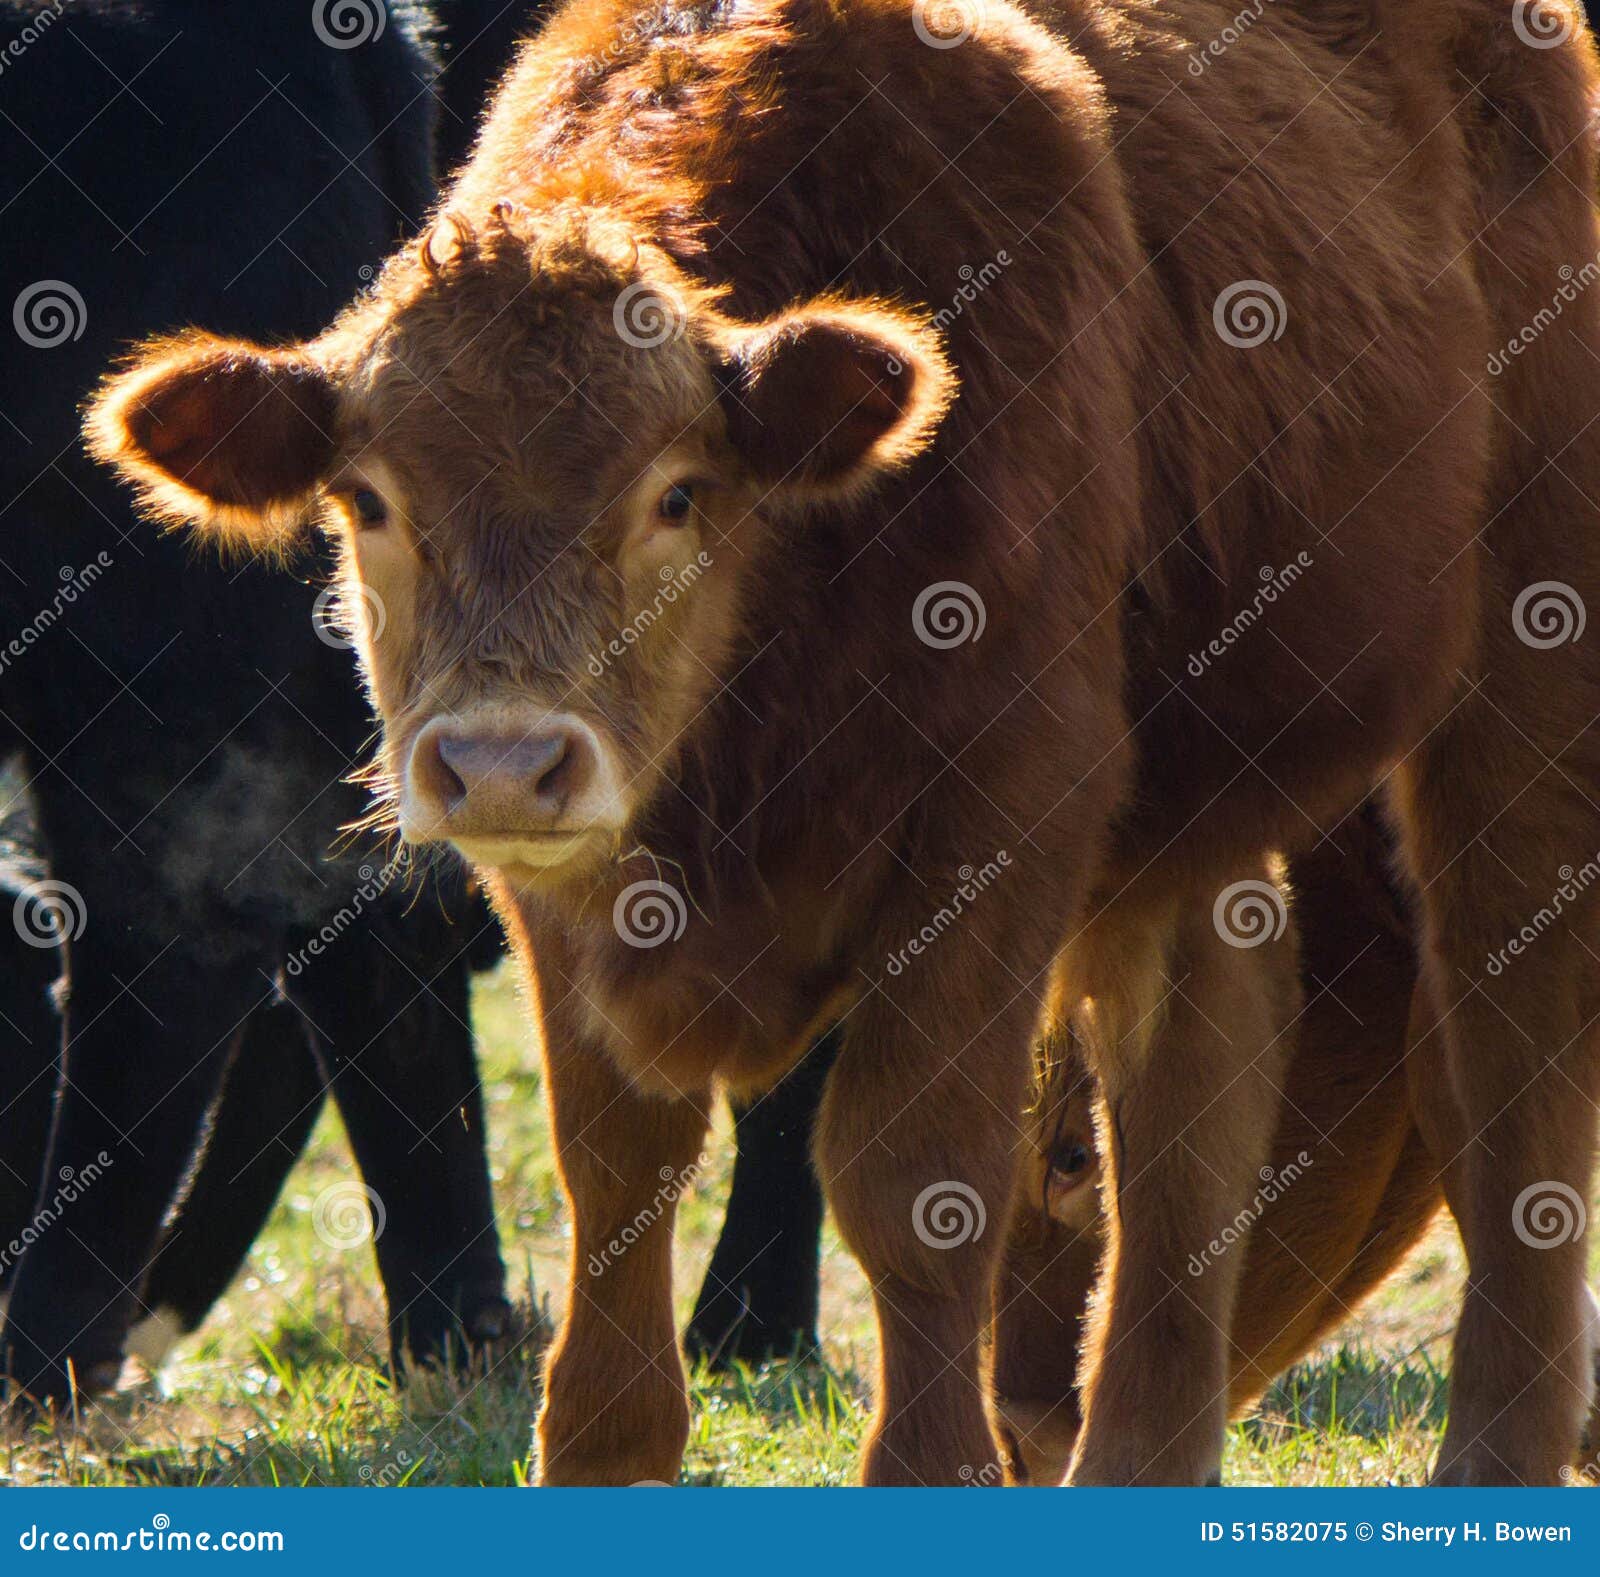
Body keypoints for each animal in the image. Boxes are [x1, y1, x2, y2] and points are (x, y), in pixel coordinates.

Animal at [86, 0, 1600, 1486]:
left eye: (677, 494)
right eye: (369, 499)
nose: (505, 760)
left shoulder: (997, 829)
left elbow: (906, 1173)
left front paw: (926, 1466)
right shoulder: (561, 890)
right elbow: (615, 1161)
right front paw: (603, 1452)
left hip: (1515, 710)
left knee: (1505, 1068)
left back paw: (1496, 1454)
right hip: (1198, 821)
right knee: (1192, 1093)